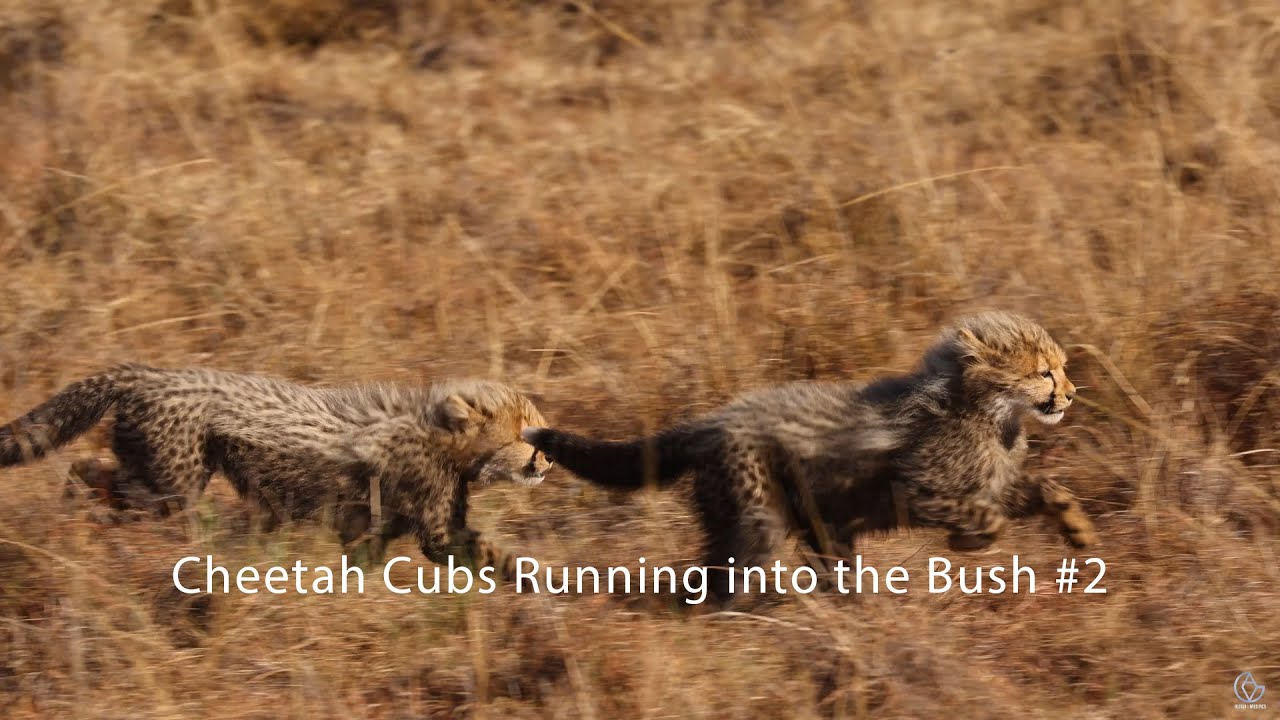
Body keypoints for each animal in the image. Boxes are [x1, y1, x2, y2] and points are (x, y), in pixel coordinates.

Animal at [0, 363, 554, 580]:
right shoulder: (435, 527)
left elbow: (361, 561)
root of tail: (147, 374)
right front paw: (550, 583)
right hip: (170, 484)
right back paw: (75, 522)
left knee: (93, 471)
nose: (549, 459)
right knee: (89, 470)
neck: (440, 435)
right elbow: (488, 556)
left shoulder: (368, 524)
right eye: (526, 433)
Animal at [524, 311, 1098, 601]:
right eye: (1044, 373)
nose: (1071, 395)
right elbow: (985, 516)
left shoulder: (995, 481)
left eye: (1062, 369)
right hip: (757, 517)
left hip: (824, 524)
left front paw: (1079, 531)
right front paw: (967, 541)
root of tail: (713, 419)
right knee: (717, 578)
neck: (984, 411)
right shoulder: (917, 487)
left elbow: (1045, 489)